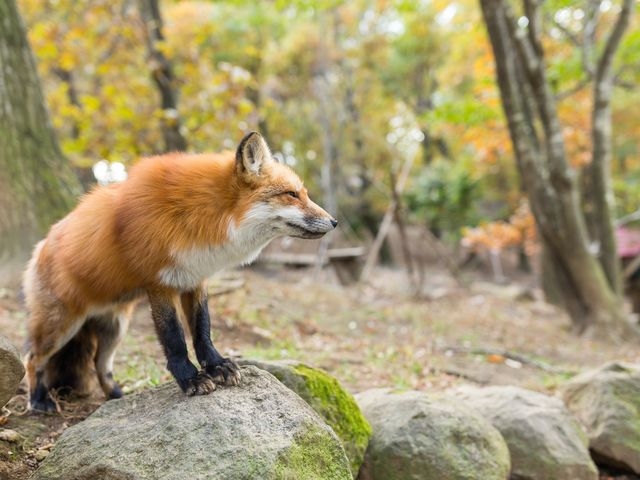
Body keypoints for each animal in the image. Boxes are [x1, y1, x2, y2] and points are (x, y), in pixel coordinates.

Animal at [22, 131, 337, 412]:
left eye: (304, 194)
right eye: (291, 194)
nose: (334, 222)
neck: (196, 216)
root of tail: (40, 246)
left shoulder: (195, 278)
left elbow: (202, 330)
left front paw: (217, 365)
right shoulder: (160, 284)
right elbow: (174, 338)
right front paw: (190, 379)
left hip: (115, 329)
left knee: (101, 364)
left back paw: (116, 395)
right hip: (60, 327)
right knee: (33, 359)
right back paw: (39, 400)